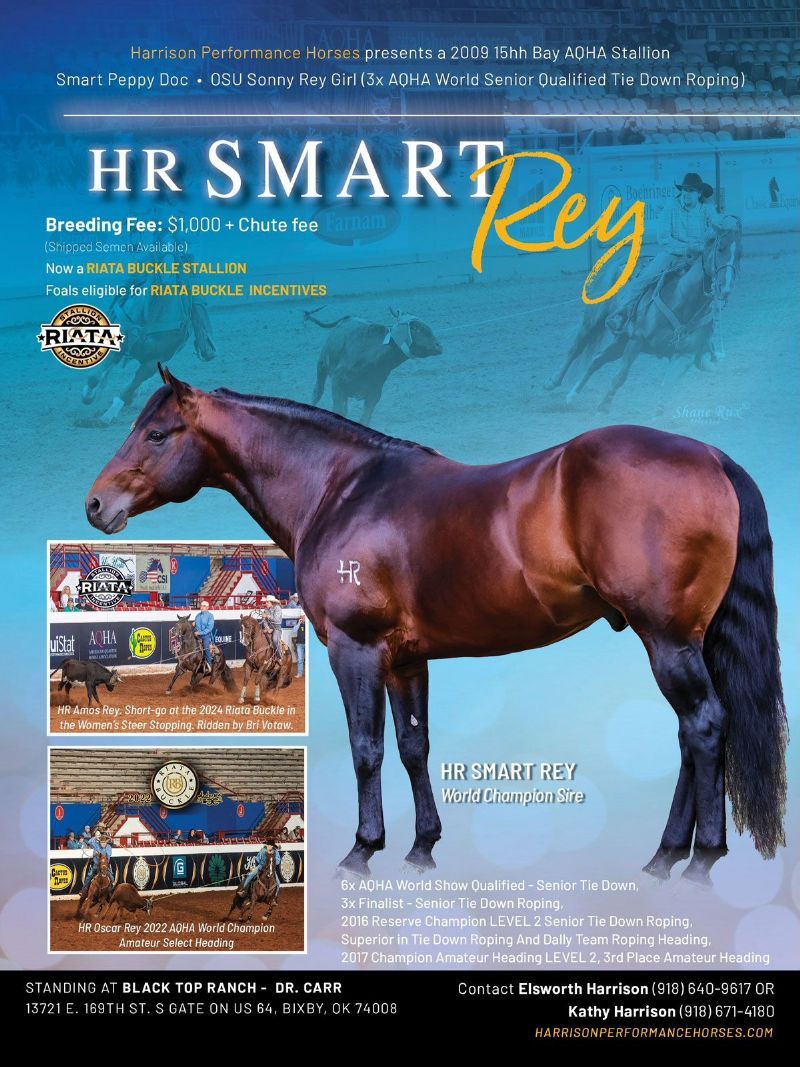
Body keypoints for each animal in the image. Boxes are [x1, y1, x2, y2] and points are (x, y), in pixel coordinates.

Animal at [85, 365, 787, 886]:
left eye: (157, 434)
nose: (95, 505)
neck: (340, 490)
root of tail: (711, 456)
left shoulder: (356, 651)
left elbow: (366, 749)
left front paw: (361, 850)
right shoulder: (405, 660)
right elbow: (413, 747)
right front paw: (421, 848)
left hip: (667, 640)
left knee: (704, 727)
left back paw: (699, 862)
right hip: (682, 641)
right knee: (690, 738)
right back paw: (664, 858)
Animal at [545, 219, 742, 410]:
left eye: (739, 254)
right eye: (720, 248)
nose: (725, 288)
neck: (683, 299)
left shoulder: (684, 355)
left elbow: (666, 387)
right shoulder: (636, 340)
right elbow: (620, 377)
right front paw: (603, 406)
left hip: (621, 340)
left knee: (596, 360)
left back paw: (572, 395)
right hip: (594, 320)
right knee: (576, 348)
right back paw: (553, 382)